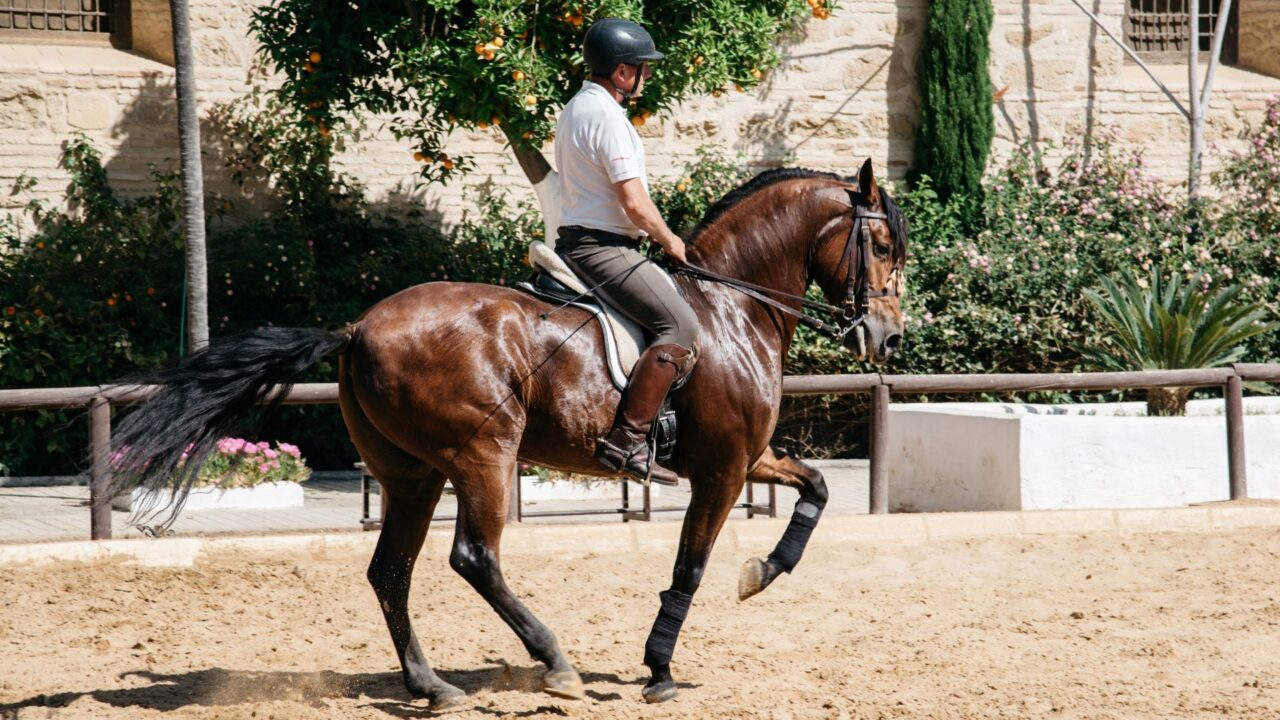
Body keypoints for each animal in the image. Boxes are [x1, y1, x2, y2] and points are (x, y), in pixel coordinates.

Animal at [109, 158, 908, 708]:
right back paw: (555, 664)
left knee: (391, 569)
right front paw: (660, 669)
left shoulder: (749, 458)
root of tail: (357, 327)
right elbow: (689, 568)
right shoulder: (723, 469)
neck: (732, 310)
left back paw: (431, 685)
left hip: (412, 473)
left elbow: (816, 488)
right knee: (474, 558)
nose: (889, 337)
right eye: (883, 248)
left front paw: (764, 571)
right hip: (483, 455)